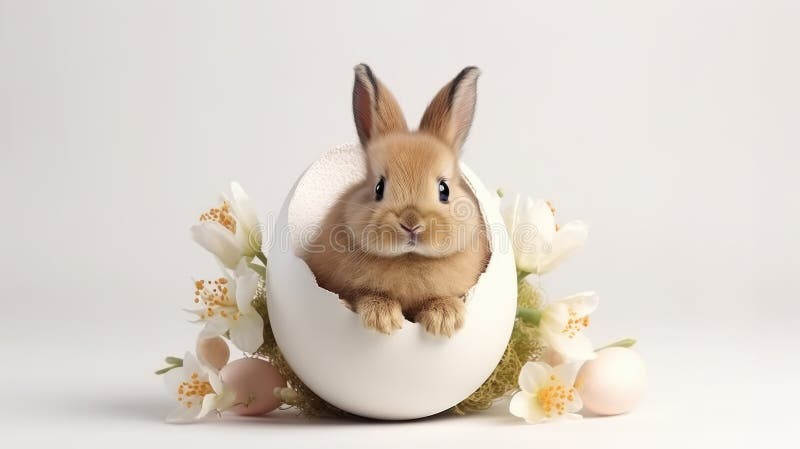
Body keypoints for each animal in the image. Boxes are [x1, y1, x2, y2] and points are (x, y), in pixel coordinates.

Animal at [303, 64, 490, 337]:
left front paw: (445, 319)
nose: (411, 224)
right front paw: (383, 319)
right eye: (379, 188)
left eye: (444, 189)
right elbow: (363, 296)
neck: (409, 257)